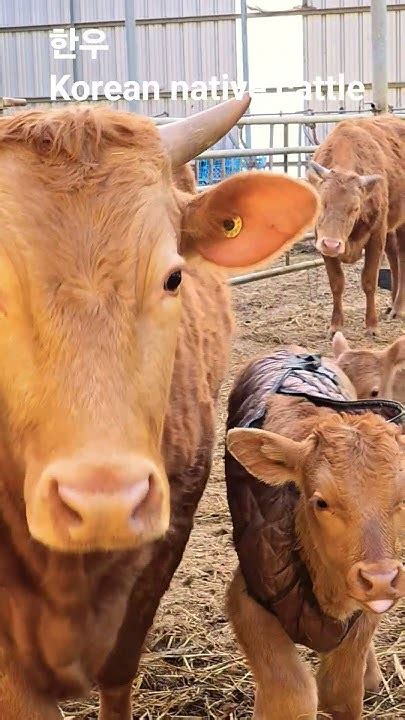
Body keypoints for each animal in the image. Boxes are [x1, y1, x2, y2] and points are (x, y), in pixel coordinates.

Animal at [225, 349, 405, 720]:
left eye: (403, 496)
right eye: (320, 501)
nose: (379, 579)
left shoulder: (366, 609)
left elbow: (340, 690)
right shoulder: (246, 598)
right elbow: (291, 696)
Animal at [307, 115, 405, 335]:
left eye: (355, 208)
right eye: (322, 202)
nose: (332, 244)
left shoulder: (376, 237)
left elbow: (369, 281)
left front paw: (371, 325)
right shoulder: (321, 240)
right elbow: (336, 282)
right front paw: (336, 325)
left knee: (402, 258)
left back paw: (398, 309)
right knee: (394, 256)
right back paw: (391, 305)